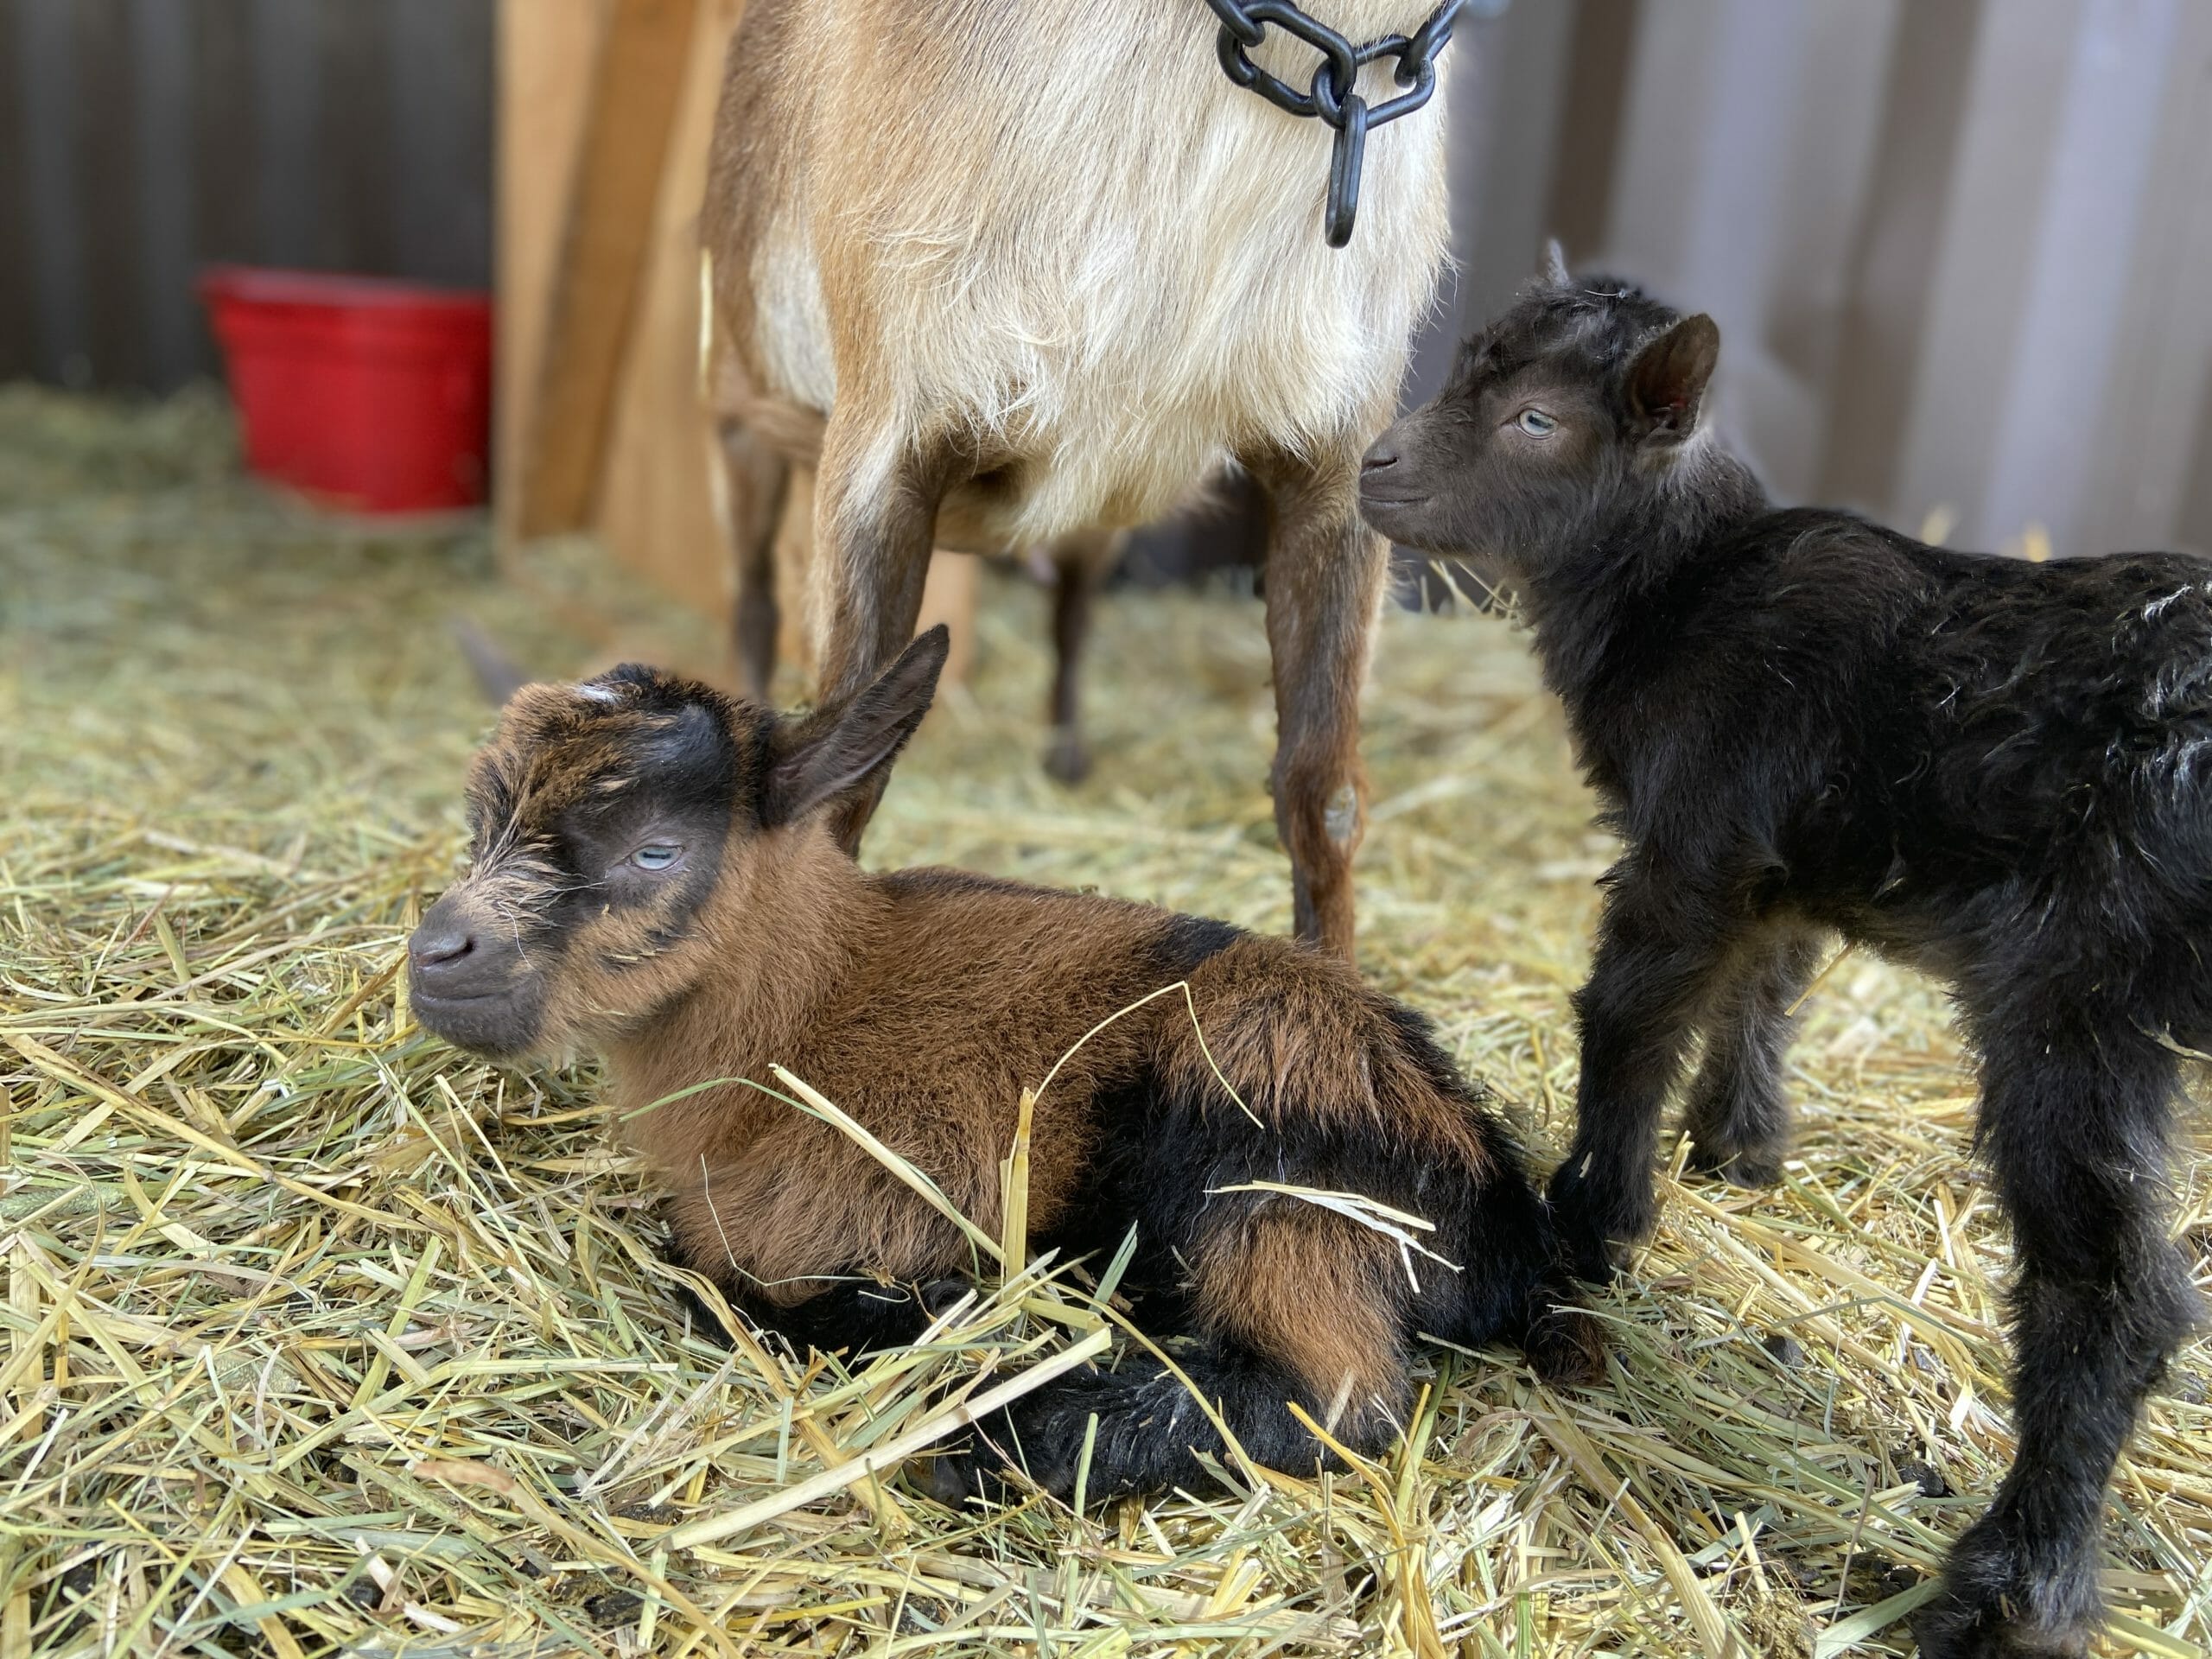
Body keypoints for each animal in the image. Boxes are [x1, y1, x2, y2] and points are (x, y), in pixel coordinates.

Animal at [405, 627, 1599, 1502]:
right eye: (480, 818)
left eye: (656, 851)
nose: (438, 953)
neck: (801, 1014)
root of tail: (1497, 1216)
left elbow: (723, 1275)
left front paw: (919, 1329)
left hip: (1272, 1159)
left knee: (1329, 1394)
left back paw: (994, 1435)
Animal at [697, 0, 1461, 958]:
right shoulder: (881, 443)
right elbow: (841, 788)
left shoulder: (1334, 461)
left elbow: (1323, 793)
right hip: (742, 423)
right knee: (753, 607)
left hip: (1097, 519)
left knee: (1070, 615)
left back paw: (1066, 759)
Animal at [1358, 261, 2208, 1658]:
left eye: (1538, 421)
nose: (1370, 467)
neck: (1679, 592)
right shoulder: (1779, 858)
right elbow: (1765, 984)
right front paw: (1740, 1148)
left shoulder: (1694, 834)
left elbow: (1632, 1012)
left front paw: (1589, 1222)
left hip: (2078, 988)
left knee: (2110, 1291)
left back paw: (2012, 1589)